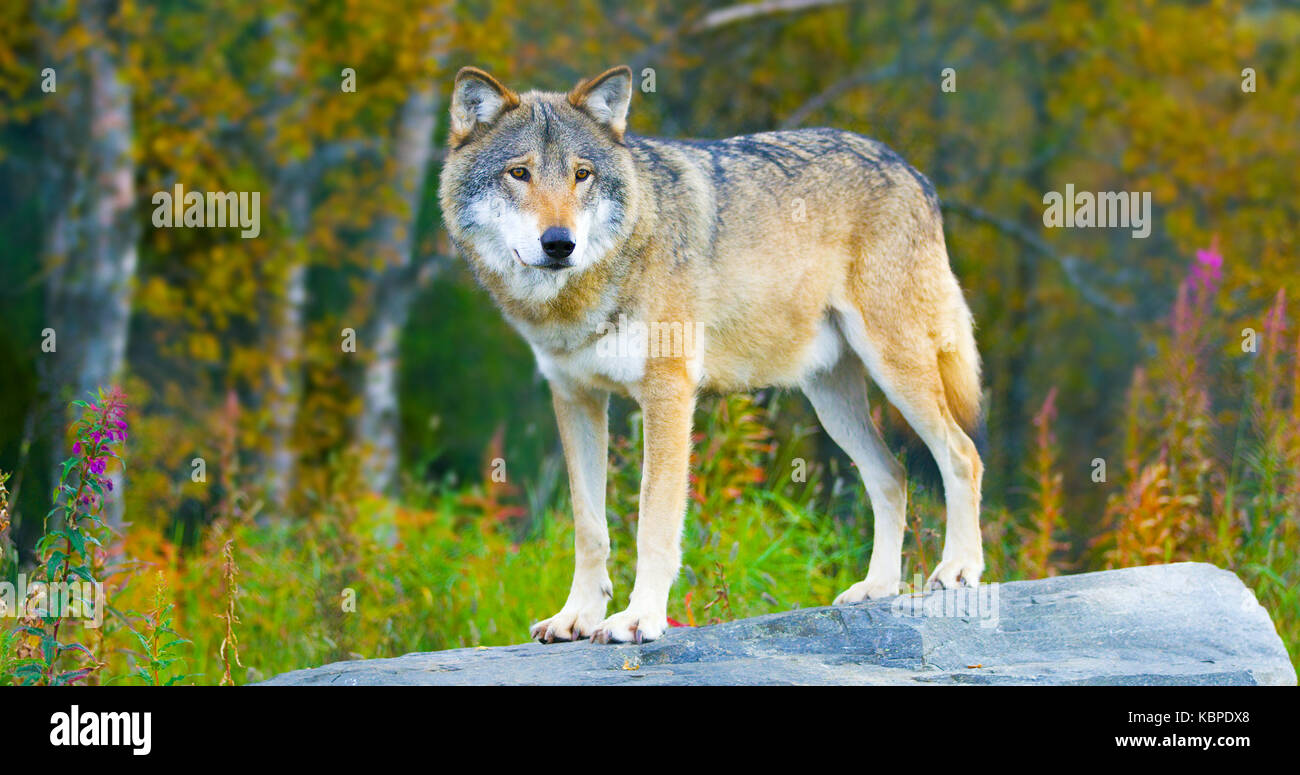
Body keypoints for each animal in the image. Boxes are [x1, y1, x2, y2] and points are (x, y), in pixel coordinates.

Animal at [439, 65, 984, 645]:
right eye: (519, 173)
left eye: (581, 174)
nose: (560, 243)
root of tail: (911, 171)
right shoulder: (574, 397)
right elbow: (590, 528)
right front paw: (576, 617)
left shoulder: (669, 393)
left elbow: (654, 520)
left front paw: (639, 617)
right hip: (831, 399)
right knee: (893, 476)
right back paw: (875, 588)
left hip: (896, 370)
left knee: (962, 454)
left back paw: (959, 570)